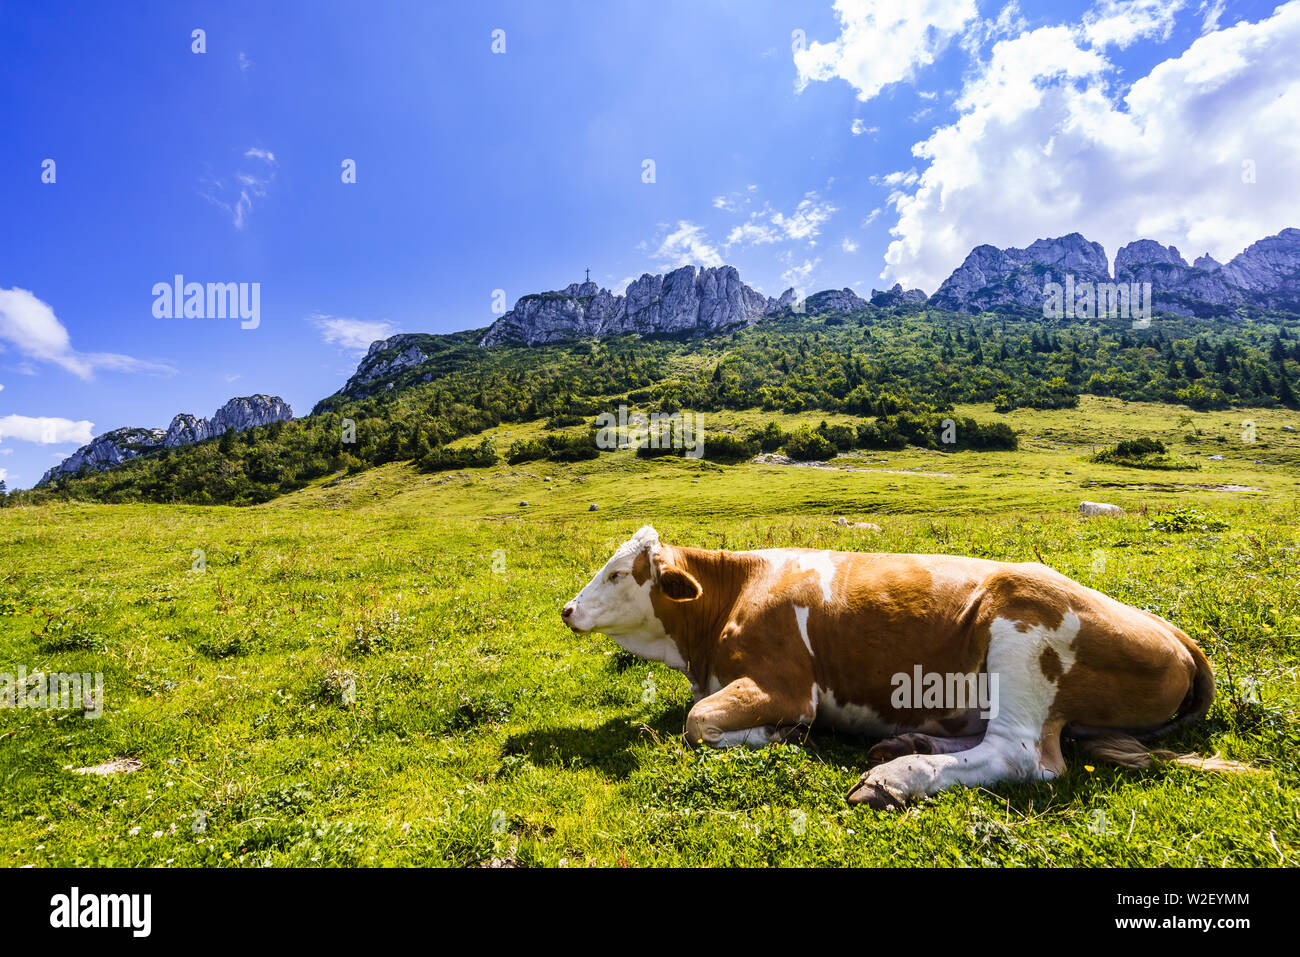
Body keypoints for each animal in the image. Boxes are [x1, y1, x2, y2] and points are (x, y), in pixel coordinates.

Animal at [561, 526, 1246, 809]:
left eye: (618, 573)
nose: (567, 609)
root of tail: (1174, 630)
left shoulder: (786, 684)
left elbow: (699, 720)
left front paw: (780, 734)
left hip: (1022, 634)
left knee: (1023, 756)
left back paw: (896, 776)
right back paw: (907, 742)